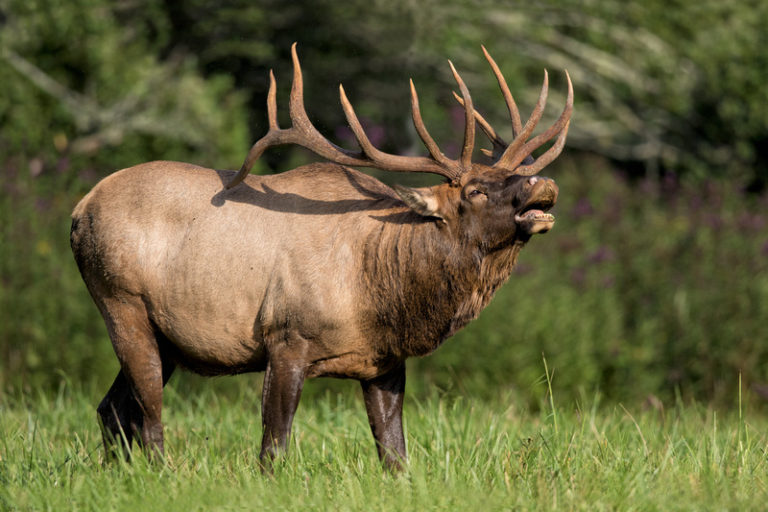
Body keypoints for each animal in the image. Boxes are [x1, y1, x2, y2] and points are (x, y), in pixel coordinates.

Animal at [70, 43, 572, 471]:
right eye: (475, 190)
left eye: (512, 175)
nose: (541, 182)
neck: (382, 292)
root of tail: (78, 212)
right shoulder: (285, 336)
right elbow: (273, 448)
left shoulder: (384, 361)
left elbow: (396, 456)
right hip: (122, 303)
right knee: (149, 418)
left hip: (167, 337)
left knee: (112, 409)